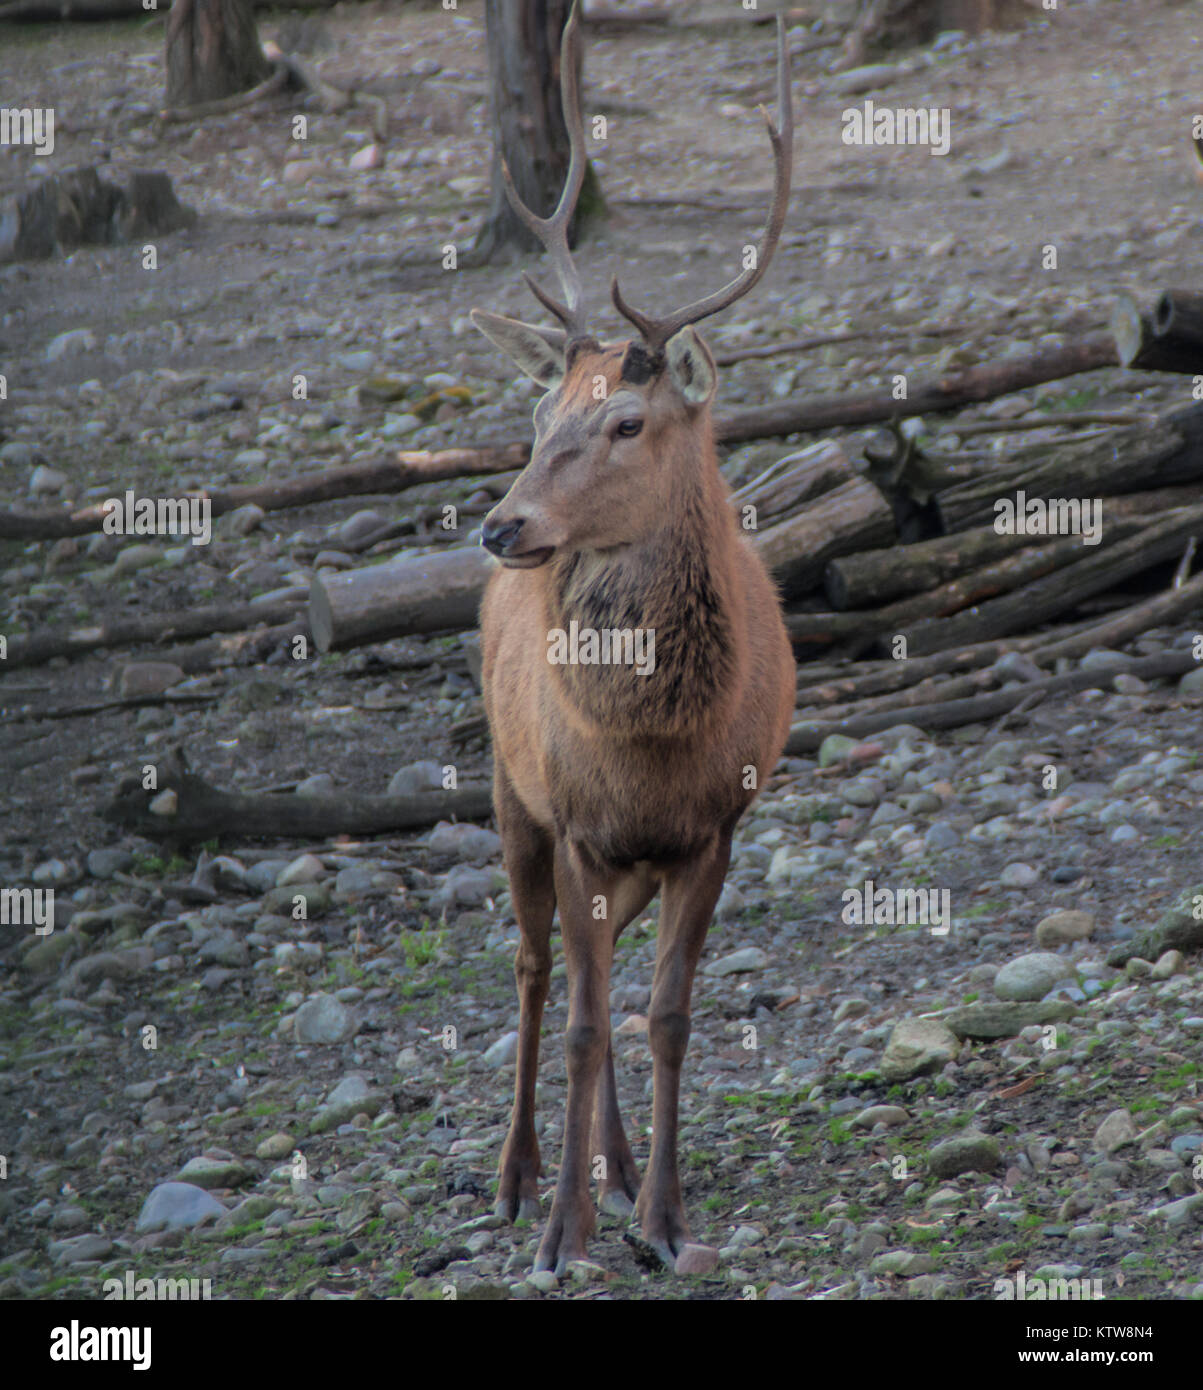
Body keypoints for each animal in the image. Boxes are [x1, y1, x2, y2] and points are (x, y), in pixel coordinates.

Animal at [469, 3, 796, 1276]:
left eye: (624, 421)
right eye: (539, 413)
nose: (503, 523)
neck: (656, 741)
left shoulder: (713, 828)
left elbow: (663, 1018)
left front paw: (661, 1215)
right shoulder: (574, 824)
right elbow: (582, 1022)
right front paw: (564, 1233)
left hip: (632, 862)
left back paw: (608, 1167)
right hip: (507, 792)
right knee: (533, 969)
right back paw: (517, 1177)